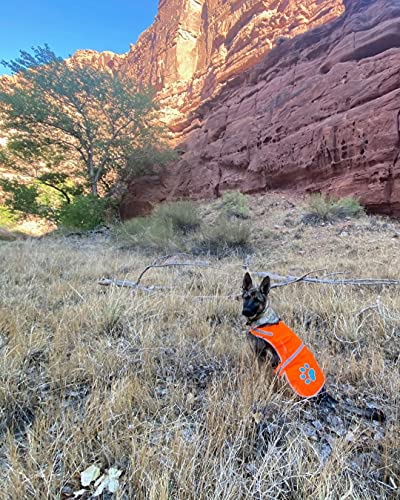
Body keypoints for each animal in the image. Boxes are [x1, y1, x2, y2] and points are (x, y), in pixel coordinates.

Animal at [242, 274, 386, 422]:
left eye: (257, 300)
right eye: (246, 297)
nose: (245, 311)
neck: (261, 318)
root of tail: (323, 393)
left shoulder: (260, 356)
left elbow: (260, 374)